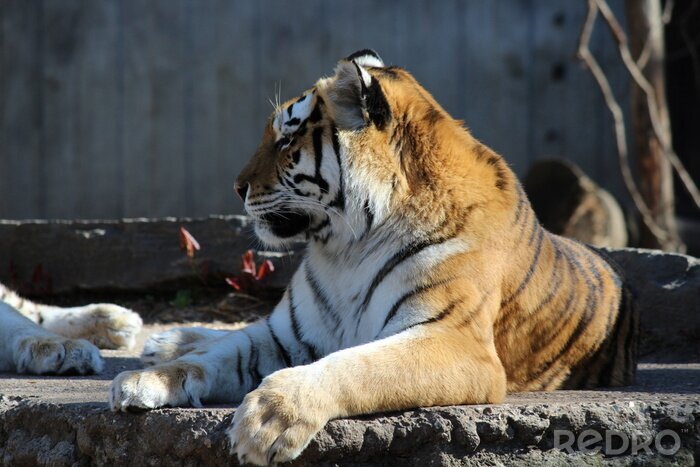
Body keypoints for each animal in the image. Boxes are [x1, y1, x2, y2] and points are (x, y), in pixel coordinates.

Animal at [109, 50, 638, 465]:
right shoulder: (284, 336)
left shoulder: (455, 341)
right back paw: (169, 340)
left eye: (285, 139)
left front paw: (270, 415)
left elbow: (357, 364)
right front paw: (139, 380)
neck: (346, 248)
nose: (237, 187)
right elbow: (216, 356)